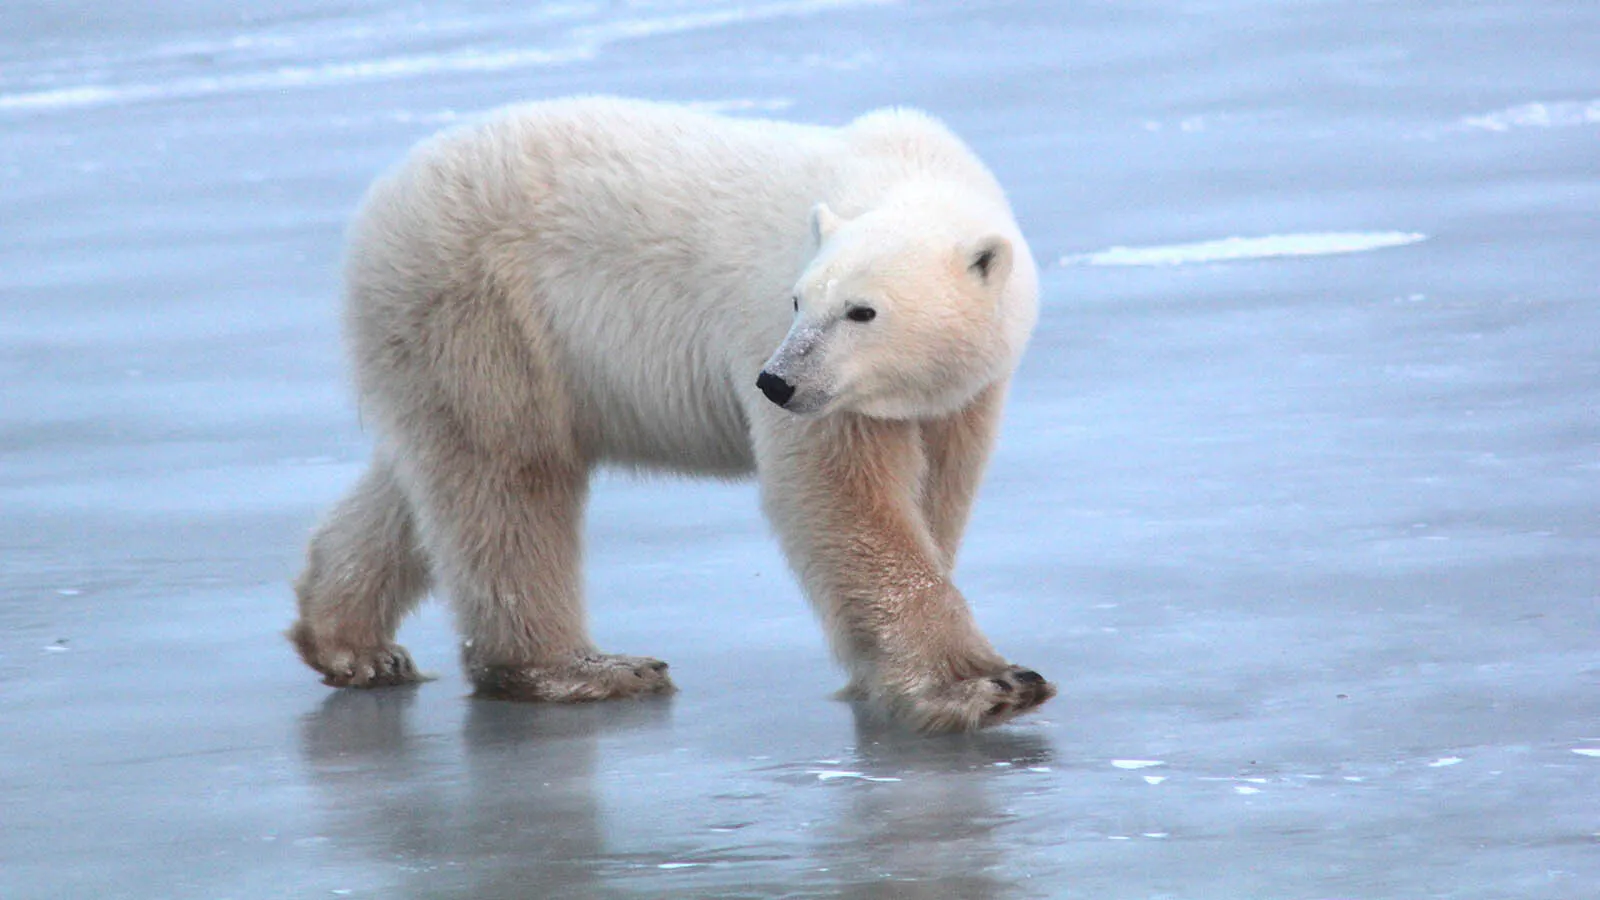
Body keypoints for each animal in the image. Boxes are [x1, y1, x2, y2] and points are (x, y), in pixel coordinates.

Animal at [289, 97, 1053, 732]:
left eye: (862, 311)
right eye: (798, 300)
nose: (776, 383)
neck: (909, 170)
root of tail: (383, 202)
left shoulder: (959, 394)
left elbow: (937, 490)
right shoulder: (787, 349)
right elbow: (844, 498)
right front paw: (989, 684)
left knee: (427, 478)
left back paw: (351, 644)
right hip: (484, 306)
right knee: (509, 478)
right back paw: (587, 668)